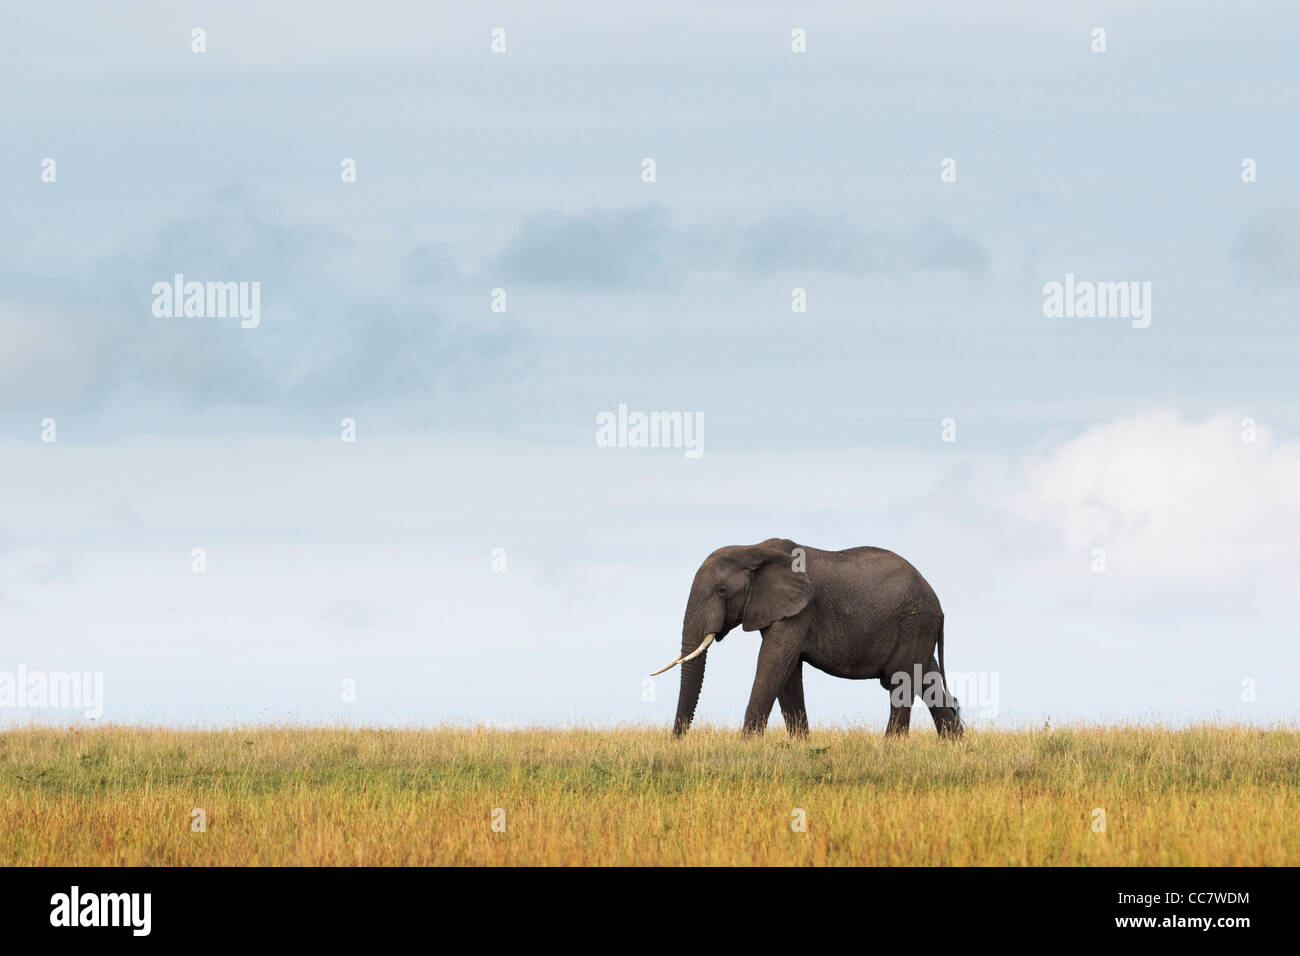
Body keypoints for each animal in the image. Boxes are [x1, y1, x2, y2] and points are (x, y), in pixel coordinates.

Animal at [651, 538, 962, 738]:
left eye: (722, 591)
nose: (678, 740)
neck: (753, 549)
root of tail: (938, 603)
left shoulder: (799, 612)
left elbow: (774, 663)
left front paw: (746, 745)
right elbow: (788, 672)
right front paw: (800, 745)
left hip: (913, 622)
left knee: (902, 680)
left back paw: (891, 746)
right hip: (918, 627)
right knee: (928, 678)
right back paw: (955, 743)